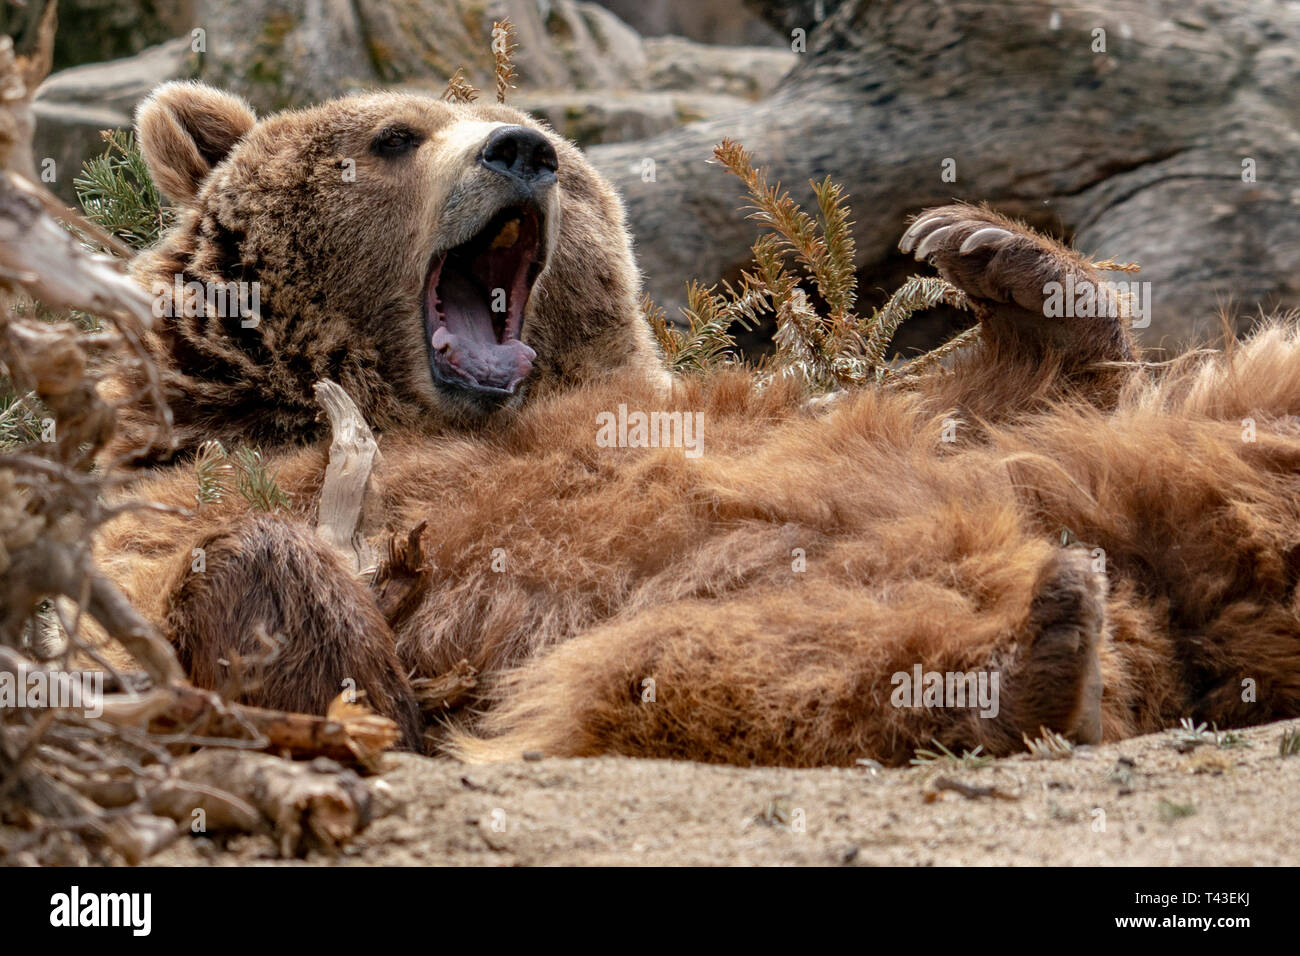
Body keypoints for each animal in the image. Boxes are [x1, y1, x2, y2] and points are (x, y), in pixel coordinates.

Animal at [94, 83, 1300, 766]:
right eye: (394, 136)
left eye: (565, 156)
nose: (521, 147)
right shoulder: (177, 487)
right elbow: (194, 604)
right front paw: (296, 586)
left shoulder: (672, 402)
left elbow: (906, 405)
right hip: (717, 616)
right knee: (727, 670)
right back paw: (1036, 650)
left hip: (1122, 459)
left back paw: (1017, 280)